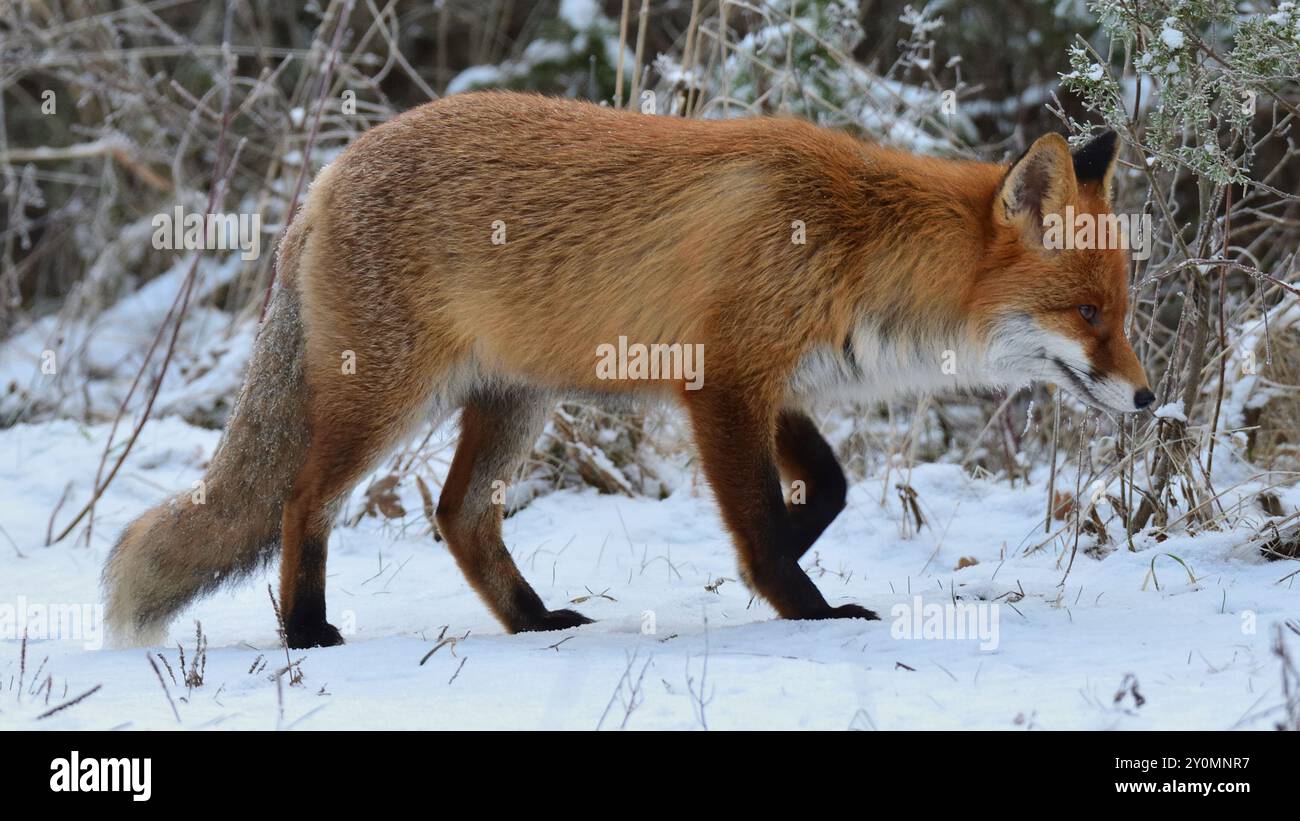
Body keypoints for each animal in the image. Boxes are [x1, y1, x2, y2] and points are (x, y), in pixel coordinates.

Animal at [104, 91, 1153, 649]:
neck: (853, 244)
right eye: (1088, 314)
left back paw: (532, 622)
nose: (1149, 397)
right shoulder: (722, 383)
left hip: (515, 402)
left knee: (457, 514)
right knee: (303, 502)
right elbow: (762, 525)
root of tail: (327, 174)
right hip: (388, 398)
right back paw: (305, 630)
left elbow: (829, 487)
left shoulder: (765, 381)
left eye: (1124, 312)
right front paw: (805, 610)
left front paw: (794, 553)